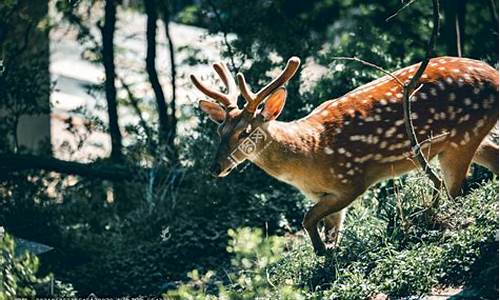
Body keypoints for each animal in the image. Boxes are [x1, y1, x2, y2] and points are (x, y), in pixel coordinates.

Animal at [189, 56, 498, 255]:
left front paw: (321, 251)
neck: (309, 155)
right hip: (469, 137)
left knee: (456, 192)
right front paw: (328, 253)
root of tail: (494, 73)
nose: (215, 167)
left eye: (245, 133)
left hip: (462, 138)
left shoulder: (351, 181)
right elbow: (328, 228)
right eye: (219, 131)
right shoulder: (326, 195)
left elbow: (306, 218)